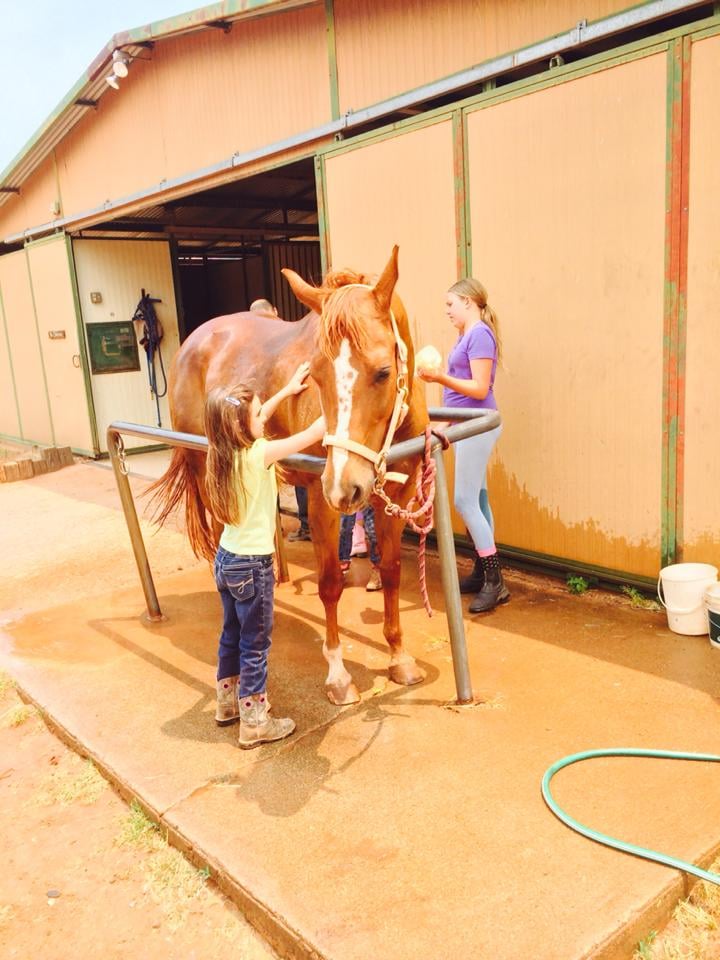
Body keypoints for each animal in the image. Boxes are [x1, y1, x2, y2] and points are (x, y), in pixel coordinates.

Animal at [150, 246, 429, 705]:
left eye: (383, 371)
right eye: (314, 374)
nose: (345, 486)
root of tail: (193, 340)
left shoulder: (395, 500)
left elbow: (389, 571)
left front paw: (399, 657)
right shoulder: (321, 502)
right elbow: (330, 583)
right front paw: (337, 675)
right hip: (209, 470)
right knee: (220, 537)